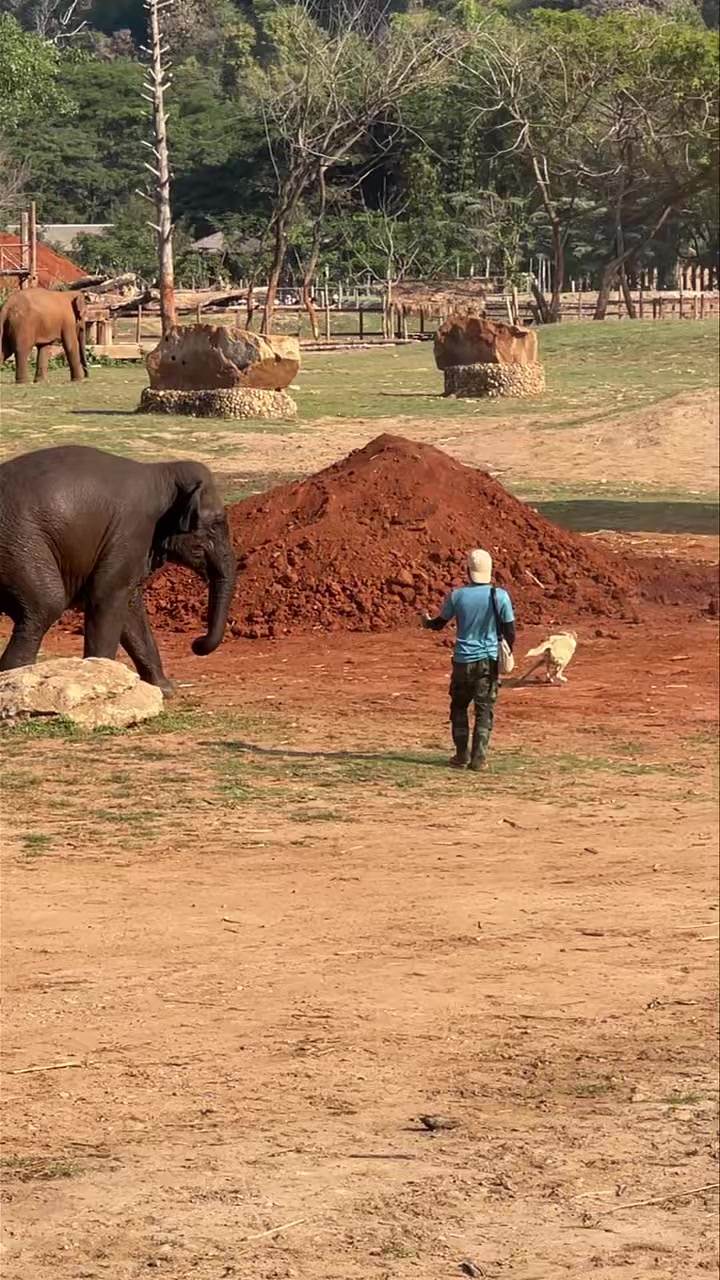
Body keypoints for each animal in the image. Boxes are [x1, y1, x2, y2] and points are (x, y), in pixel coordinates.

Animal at [0, 445, 237, 693]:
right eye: (215, 526)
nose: (196, 643)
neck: (163, 473)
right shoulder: (130, 532)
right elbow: (105, 597)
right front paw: (100, 680)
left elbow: (131, 607)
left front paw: (164, 690)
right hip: (19, 545)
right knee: (46, 605)